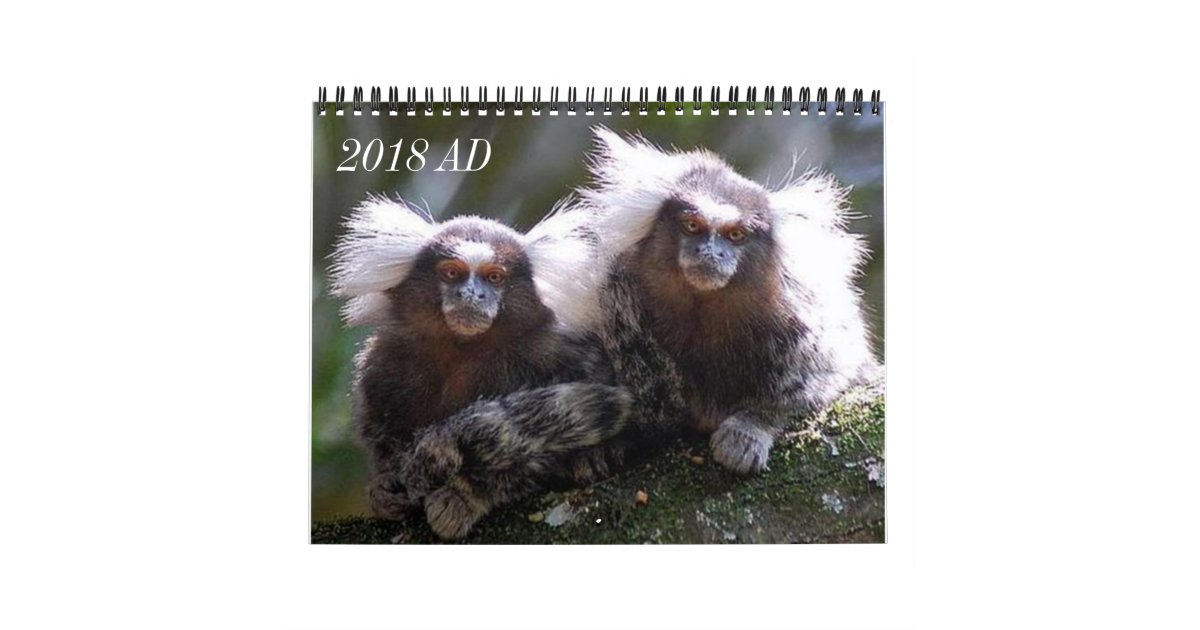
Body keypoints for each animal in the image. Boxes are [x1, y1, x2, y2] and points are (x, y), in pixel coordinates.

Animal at [328, 194, 632, 539]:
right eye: (451, 273)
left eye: (494, 277)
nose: (472, 294)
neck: (461, 350)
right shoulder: (384, 360)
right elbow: (380, 434)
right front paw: (383, 488)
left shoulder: (559, 350)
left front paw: (466, 493)